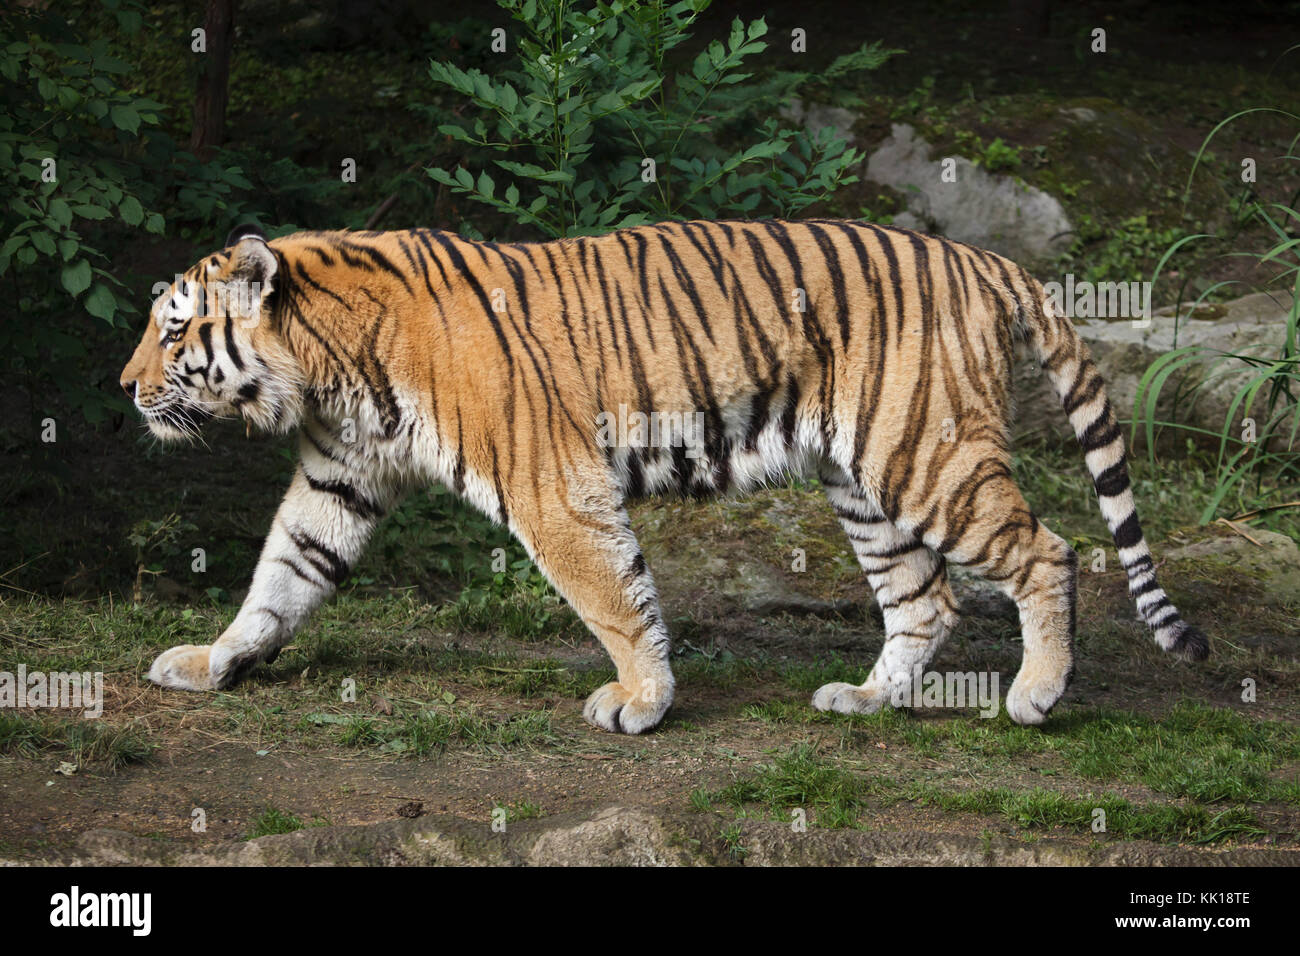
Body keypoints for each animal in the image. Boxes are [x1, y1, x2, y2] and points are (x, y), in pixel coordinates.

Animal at [120, 219, 1209, 734]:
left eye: (174, 329)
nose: (125, 386)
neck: (327, 366)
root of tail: (986, 260)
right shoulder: (339, 479)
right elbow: (278, 580)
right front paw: (214, 662)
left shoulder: (552, 483)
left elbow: (610, 594)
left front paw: (640, 700)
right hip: (864, 479)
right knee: (925, 598)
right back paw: (867, 699)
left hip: (926, 456)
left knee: (1050, 551)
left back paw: (1036, 694)